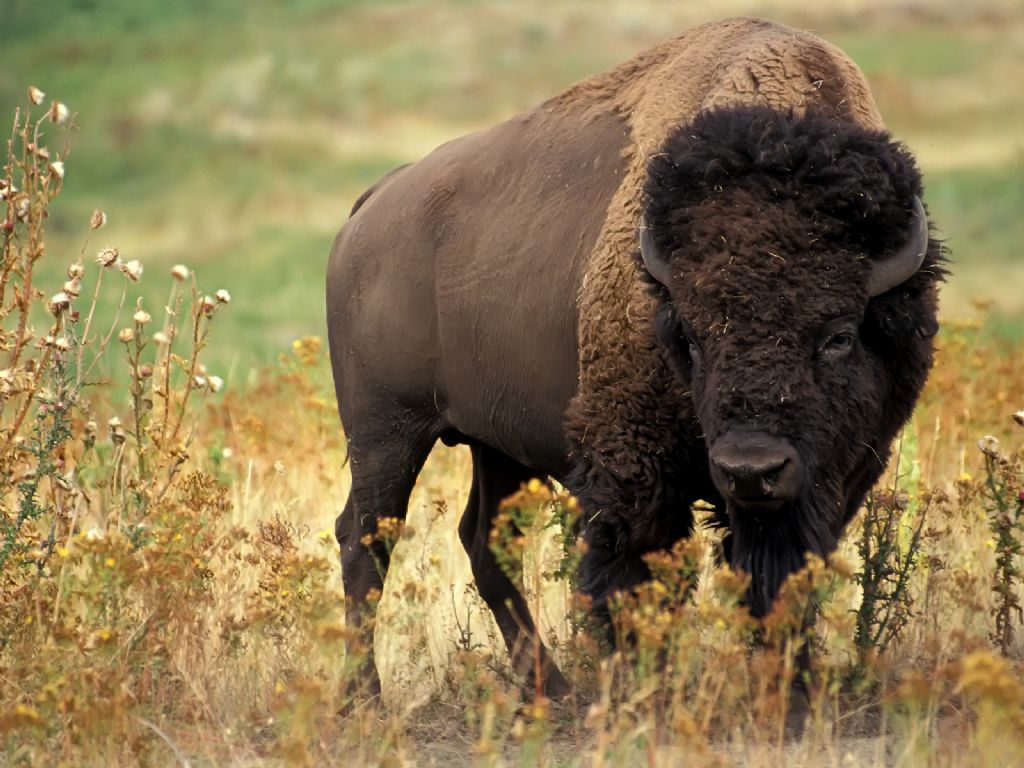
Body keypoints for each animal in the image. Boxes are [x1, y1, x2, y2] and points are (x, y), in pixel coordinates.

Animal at [326, 17, 944, 698]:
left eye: (838, 335)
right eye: (691, 337)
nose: (750, 469)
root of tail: (374, 203)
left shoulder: (834, 478)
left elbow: (781, 580)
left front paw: (789, 688)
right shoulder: (633, 468)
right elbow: (634, 579)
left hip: (495, 443)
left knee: (483, 540)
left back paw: (550, 690)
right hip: (386, 433)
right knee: (365, 539)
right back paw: (365, 697)